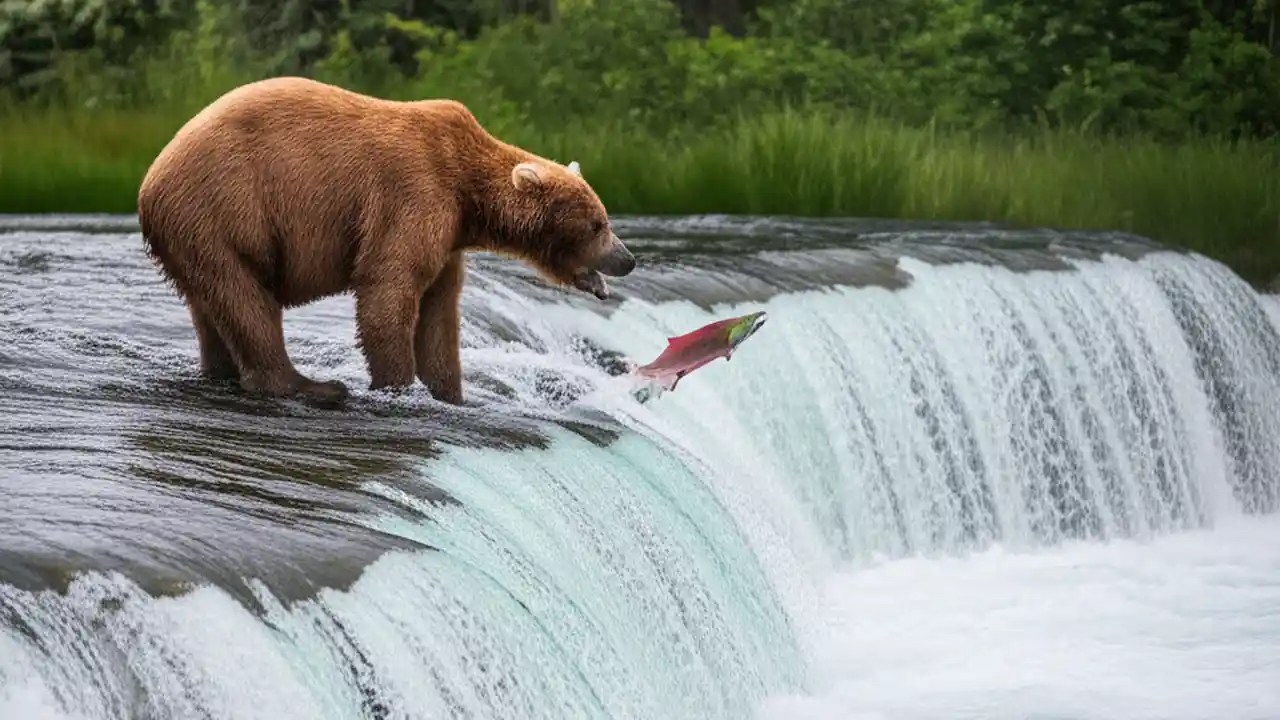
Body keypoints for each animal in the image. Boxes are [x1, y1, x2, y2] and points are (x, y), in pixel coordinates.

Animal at [137, 76, 635, 406]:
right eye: (597, 224)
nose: (627, 259)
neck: (468, 194)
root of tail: (150, 179)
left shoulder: (448, 241)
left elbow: (439, 314)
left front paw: (451, 393)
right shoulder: (414, 196)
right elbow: (389, 289)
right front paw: (397, 386)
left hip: (197, 234)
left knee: (212, 308)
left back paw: (221, 372)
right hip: (223, 209)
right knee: (248, 301)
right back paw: (313, 385)